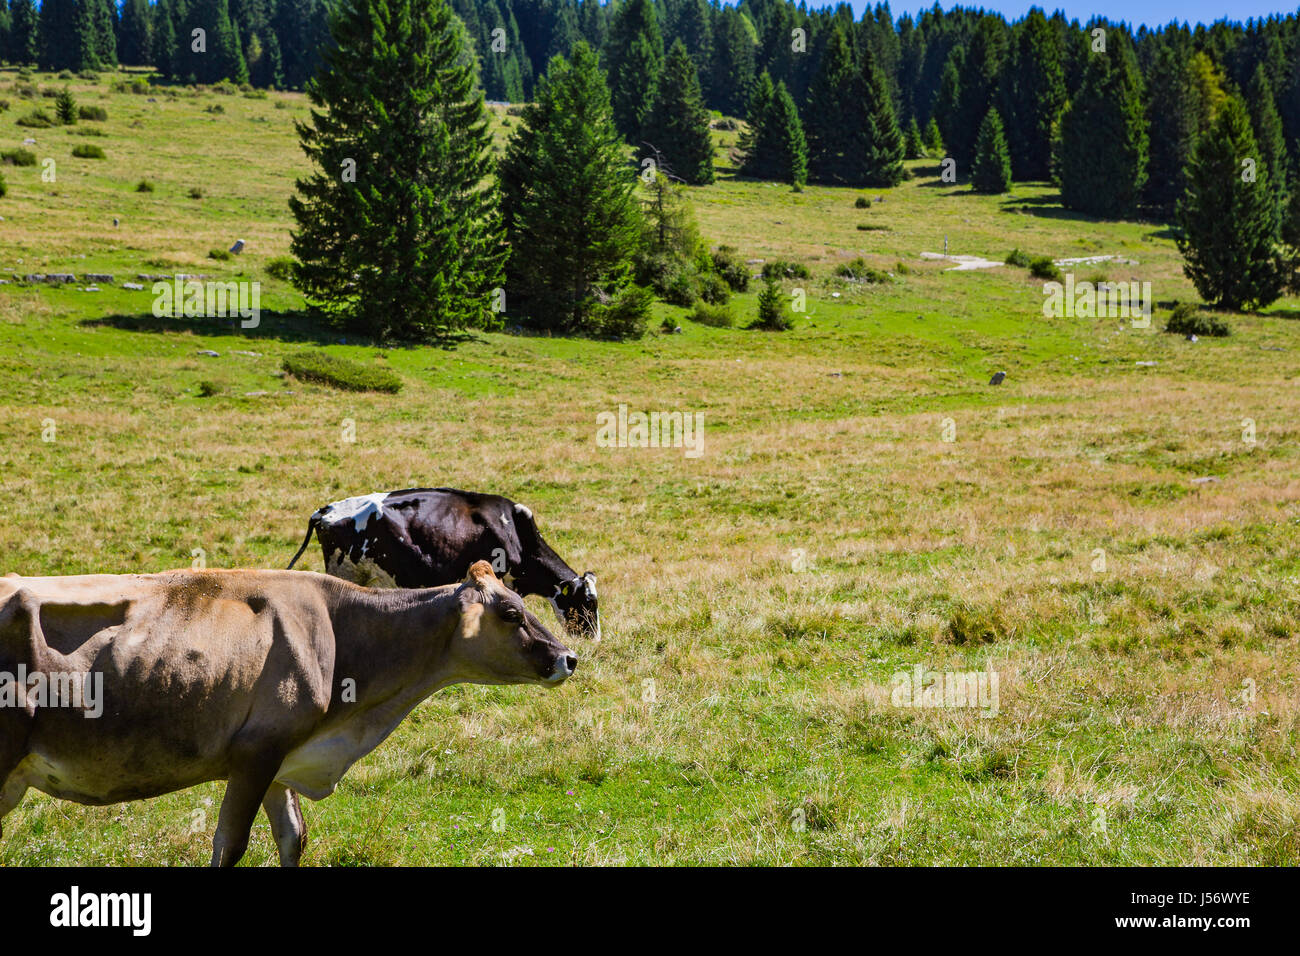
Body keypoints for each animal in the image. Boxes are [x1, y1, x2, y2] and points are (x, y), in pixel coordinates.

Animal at [0, 560, 574, 866]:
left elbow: (294, 836)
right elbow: (230, 844)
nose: (569, 657)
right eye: (511, 612)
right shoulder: (255, 754)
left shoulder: (281, 757)